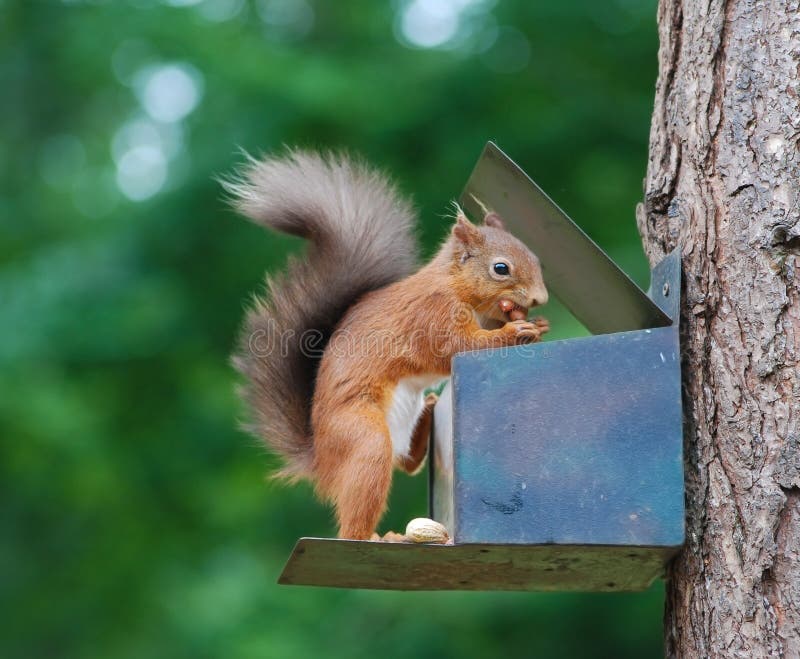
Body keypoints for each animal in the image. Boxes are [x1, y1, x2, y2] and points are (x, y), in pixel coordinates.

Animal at [228, 150, 549, 540]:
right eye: (500, 268)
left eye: (535, 257)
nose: (541, 298)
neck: (454, 284)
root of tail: (322, 462)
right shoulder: (432, 315)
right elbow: (456, 346)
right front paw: (514, 331)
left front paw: (536, 324)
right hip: (363, 439)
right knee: (356, 517)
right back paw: (381, 536)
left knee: (408, 463)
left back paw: (427, 414)